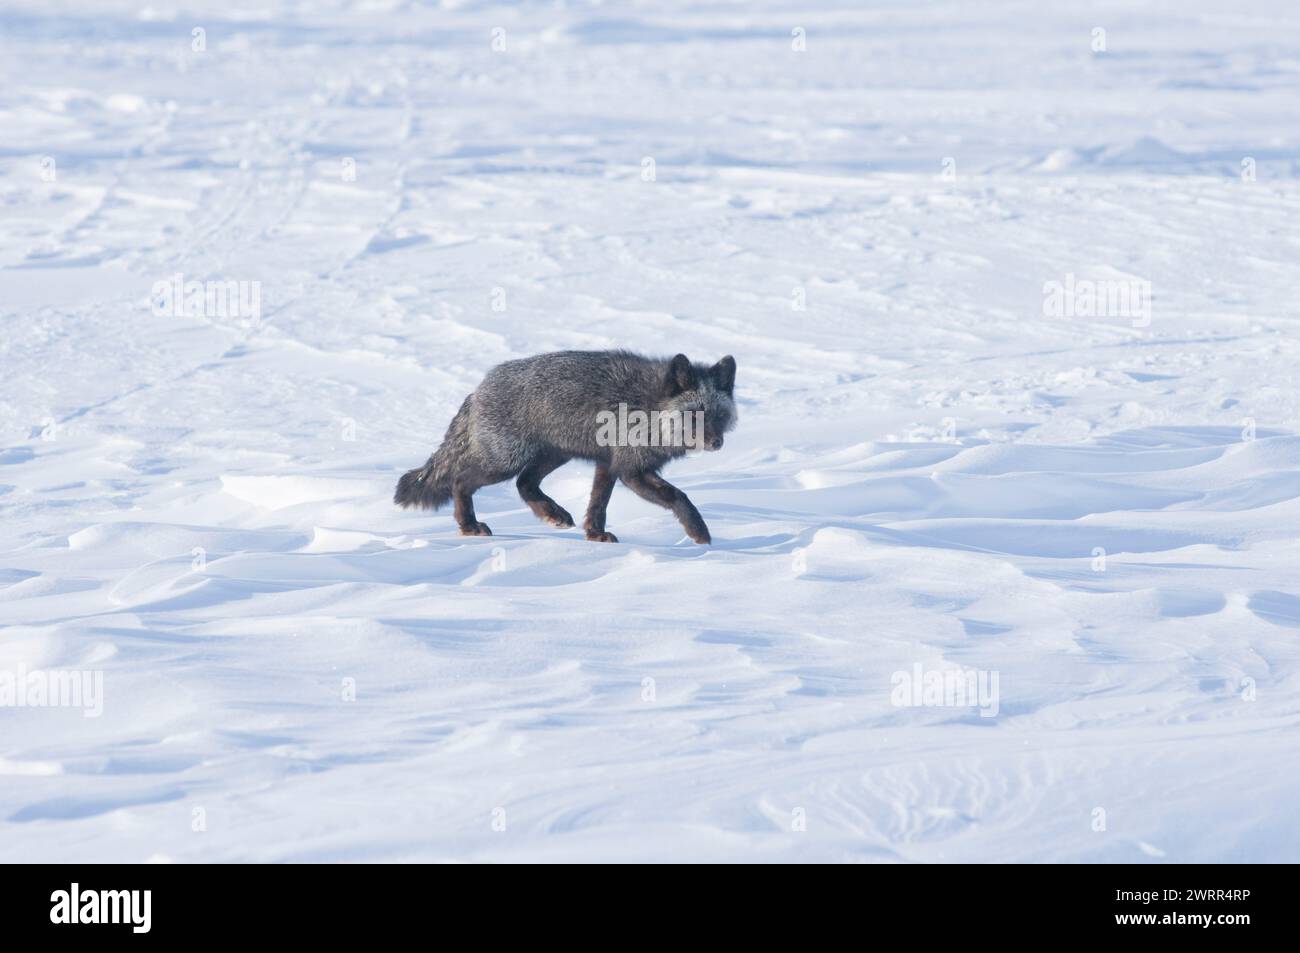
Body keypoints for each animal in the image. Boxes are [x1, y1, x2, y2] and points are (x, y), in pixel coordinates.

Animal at [393, 350, 737, 544]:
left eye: (719, 416)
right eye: (694, 415)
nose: (717, 443)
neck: (650, 408)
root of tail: (478, 390)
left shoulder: (608, 464)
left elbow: (597, 505)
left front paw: (595, 535)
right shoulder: (631, 470)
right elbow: (680, 497)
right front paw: (700, 533)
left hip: (553, 455)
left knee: (524, 484)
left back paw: (552, 513)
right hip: (503, 463)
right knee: (460, 481)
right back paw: (469, 526)